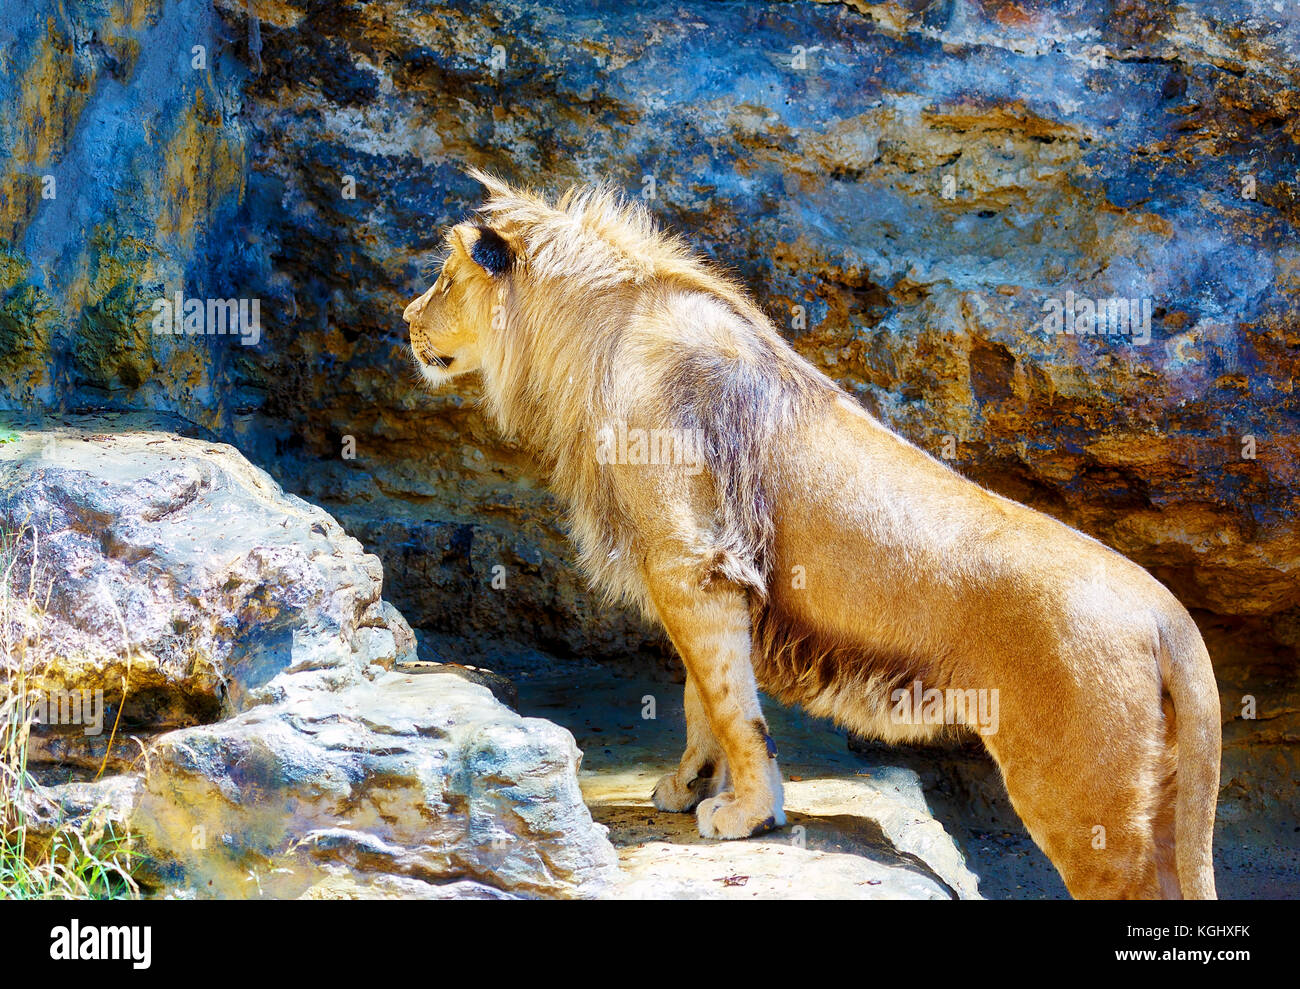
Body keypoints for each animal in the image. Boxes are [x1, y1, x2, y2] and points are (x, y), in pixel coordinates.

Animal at [402, 169, 1222, 899]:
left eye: (442, 277)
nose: (406, 319)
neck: (593, 329)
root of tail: (1167, 613)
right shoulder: (705, 569)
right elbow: (701, 693)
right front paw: (688, 784)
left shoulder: (691, 560)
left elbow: (731, 701)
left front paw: (747, 813)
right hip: (1159, 800)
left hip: (1083, 802)